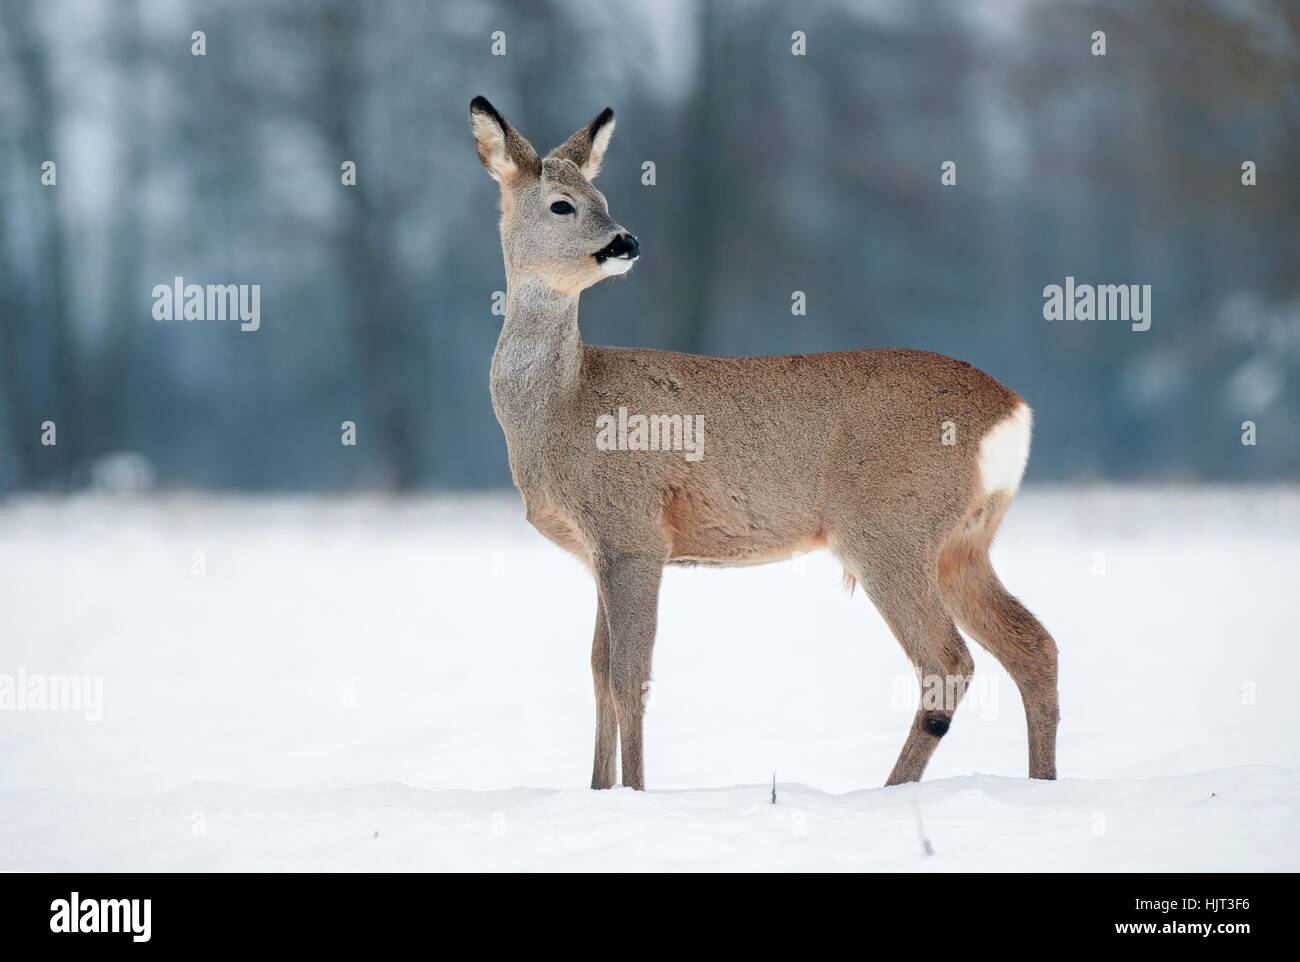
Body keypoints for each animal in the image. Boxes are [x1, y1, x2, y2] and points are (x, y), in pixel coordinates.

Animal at [469, 96, 1059, 791]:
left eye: (602, 196)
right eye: (564, 204)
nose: (626, 241)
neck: (563, 404)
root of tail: (1014, 410)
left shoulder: (632, 531)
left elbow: (628, 678)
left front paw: (635, 793)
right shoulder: (599, 551)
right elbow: (595, 673)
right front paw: (597, 791)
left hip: (889, 528)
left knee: (948, 662)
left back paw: (890, 791)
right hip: (963, 540)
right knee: (1034, 646)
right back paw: (1041, 784)